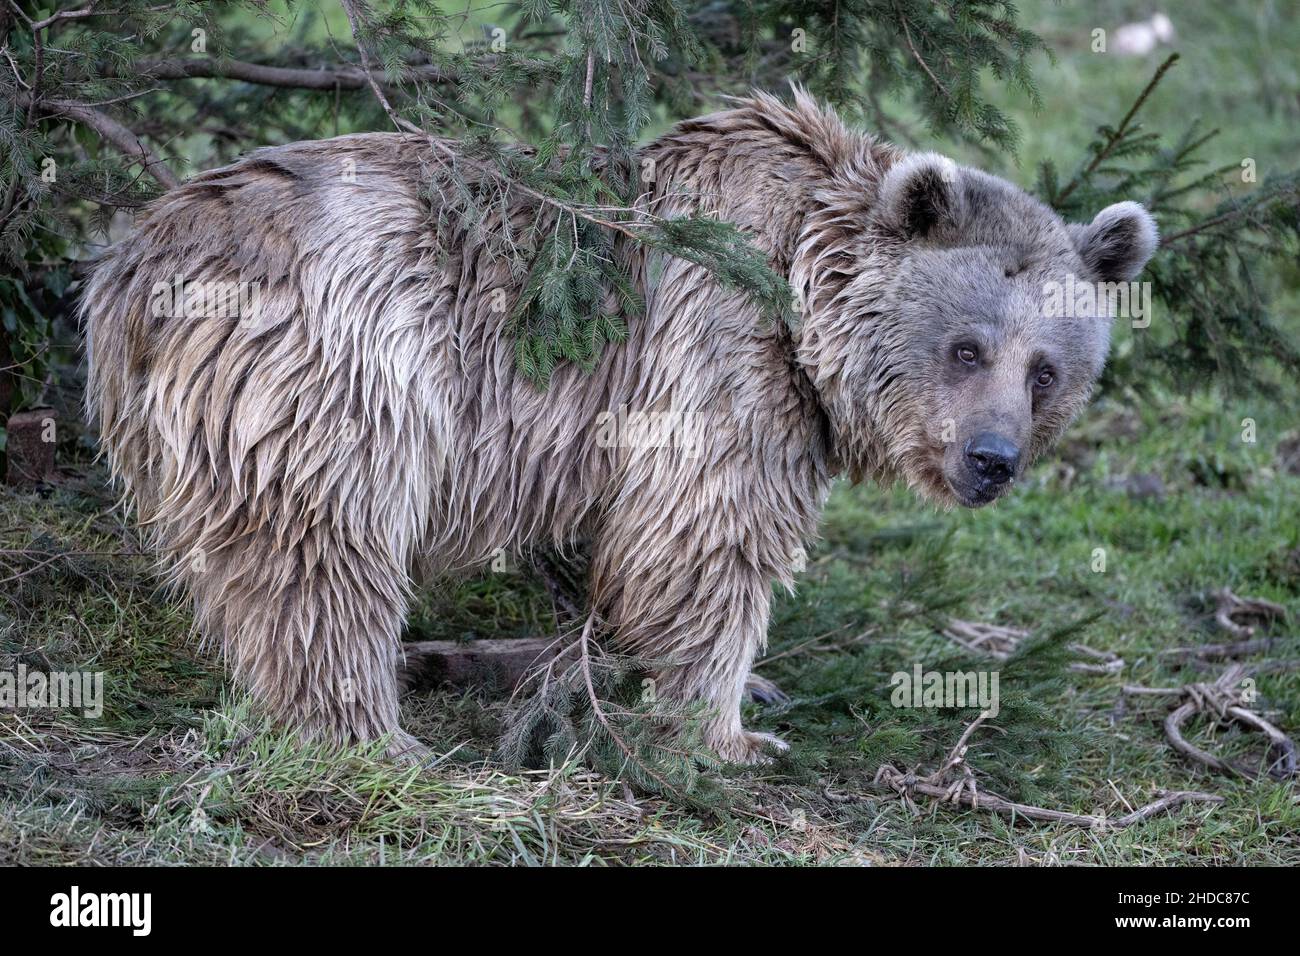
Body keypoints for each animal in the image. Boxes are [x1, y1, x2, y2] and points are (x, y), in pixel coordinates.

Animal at [81, 89, 1157, 764]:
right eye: (967, 347)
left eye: (1048, 369)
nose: (992, 458)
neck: (804, 284)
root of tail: (139, 259)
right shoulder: (713, 346)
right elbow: (707, 535)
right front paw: (731, 730)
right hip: (341, 366)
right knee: (323, 546)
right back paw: (369, 729)